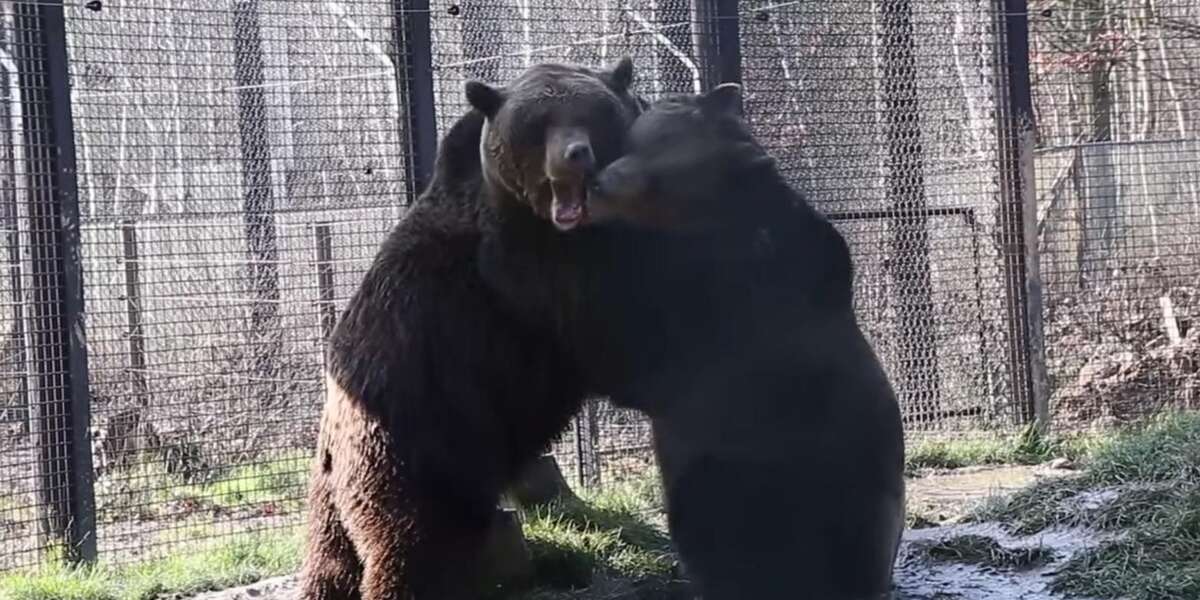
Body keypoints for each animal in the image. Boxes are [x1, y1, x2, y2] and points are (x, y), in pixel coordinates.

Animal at [297, 58, 643, 600]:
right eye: (537, 124)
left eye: (593, 113)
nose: (574, 155)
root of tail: (335, 443)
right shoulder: (520, 273)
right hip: (421, 448)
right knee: (413, 545)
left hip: (333, 494)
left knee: (330, 556)